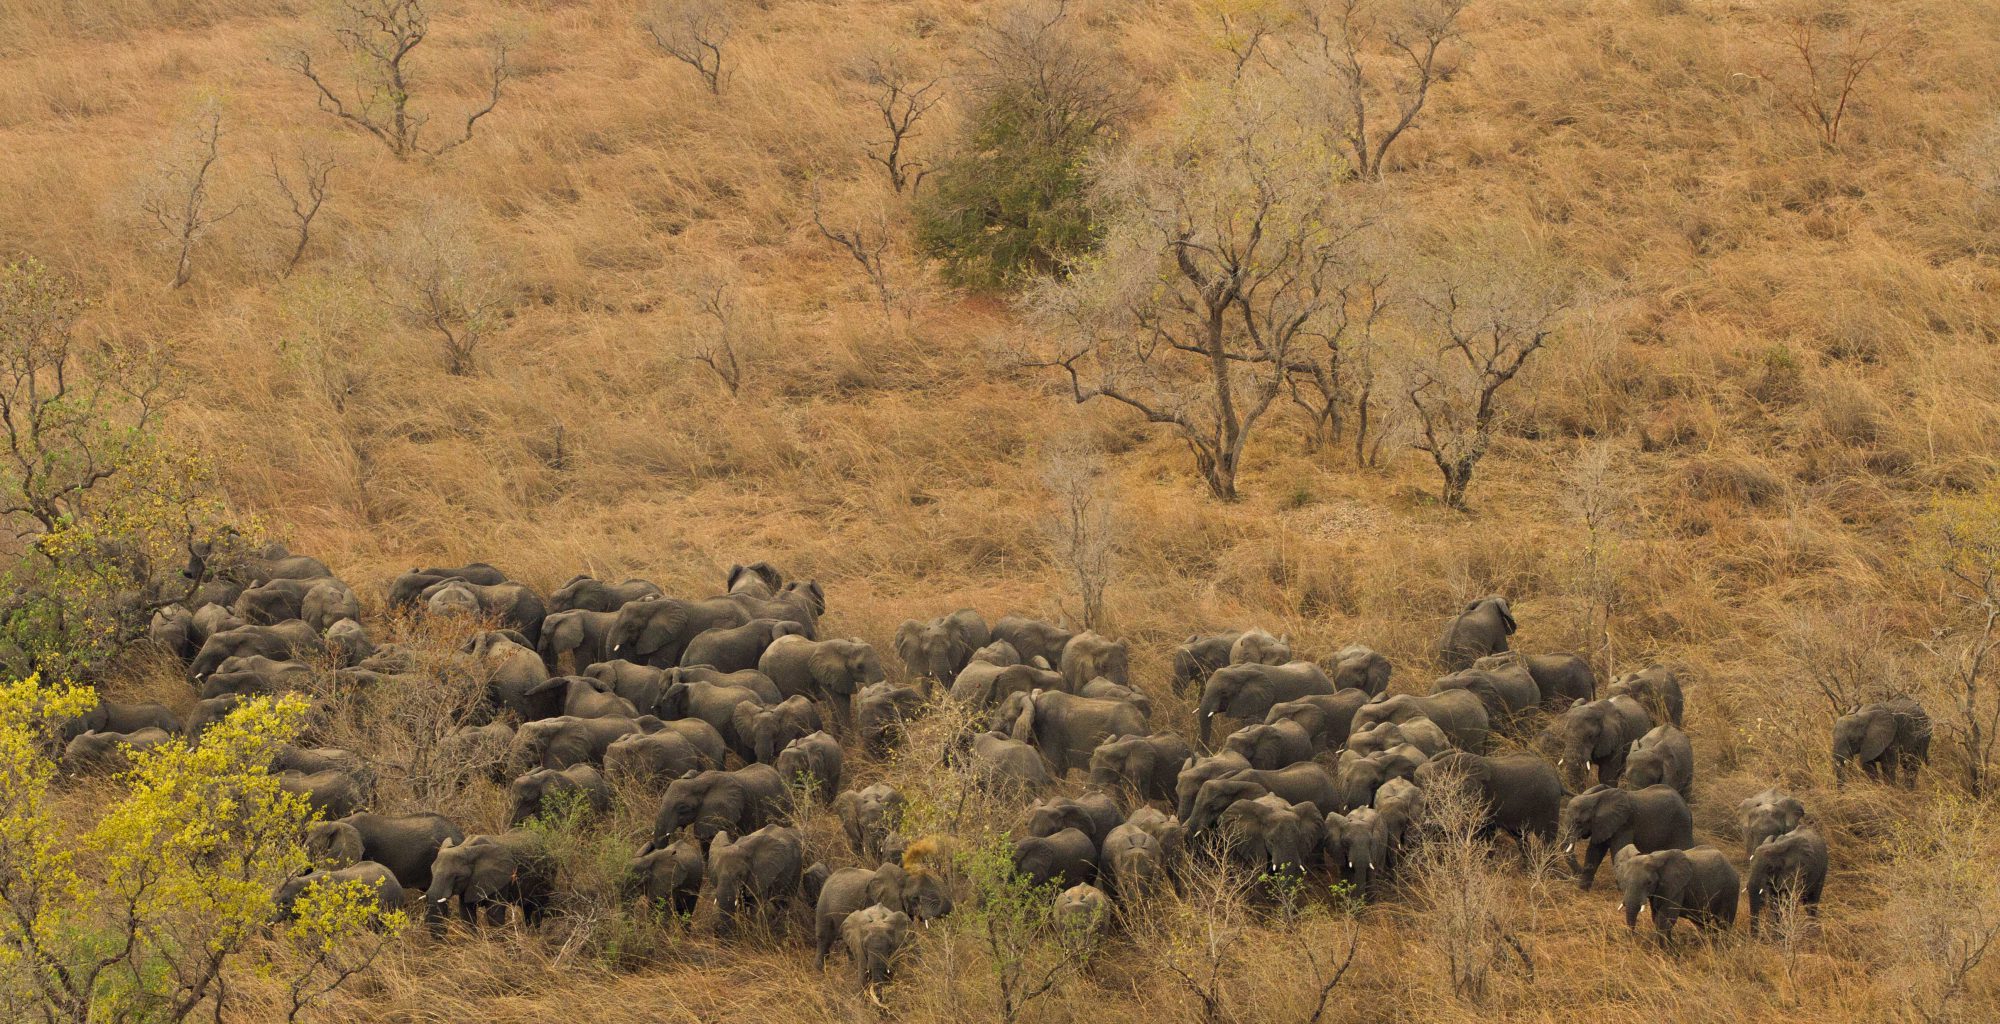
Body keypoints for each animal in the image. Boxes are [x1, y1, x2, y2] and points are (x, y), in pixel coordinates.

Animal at [425, 832, 557, 928]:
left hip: (547, 875)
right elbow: (466, 914)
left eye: (457, 877)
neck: (466, 847)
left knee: (537, 906)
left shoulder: (500, 880)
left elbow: (495, 915)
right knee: (528, 908)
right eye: (431, 871)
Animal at [1562, 784, 1694, 890]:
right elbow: (1594, 851)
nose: (1577, 873)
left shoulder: (1624, 824)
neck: (1596, 798)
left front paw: (1621, 889)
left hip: (1681, 825)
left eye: (1578, 822)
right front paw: (1583, 888)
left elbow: (1619, 850)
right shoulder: (1602, 824)